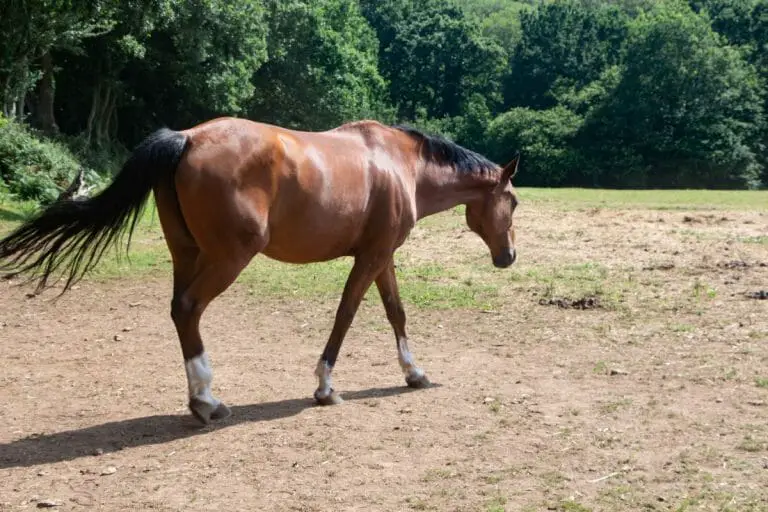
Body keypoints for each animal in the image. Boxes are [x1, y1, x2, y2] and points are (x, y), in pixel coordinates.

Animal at [0, 117, 520, 424]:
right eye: (513, 201)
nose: (509, 256)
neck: (399, 164)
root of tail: (188, 137)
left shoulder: (381, 257)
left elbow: (396, 312)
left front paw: (414, 373)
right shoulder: (370, 258)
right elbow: (346, 314)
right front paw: (325, 386)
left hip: (187, 254)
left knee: (180, 312)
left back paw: (200, 398)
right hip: (228, 258)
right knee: (188, 308)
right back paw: (207, 402)